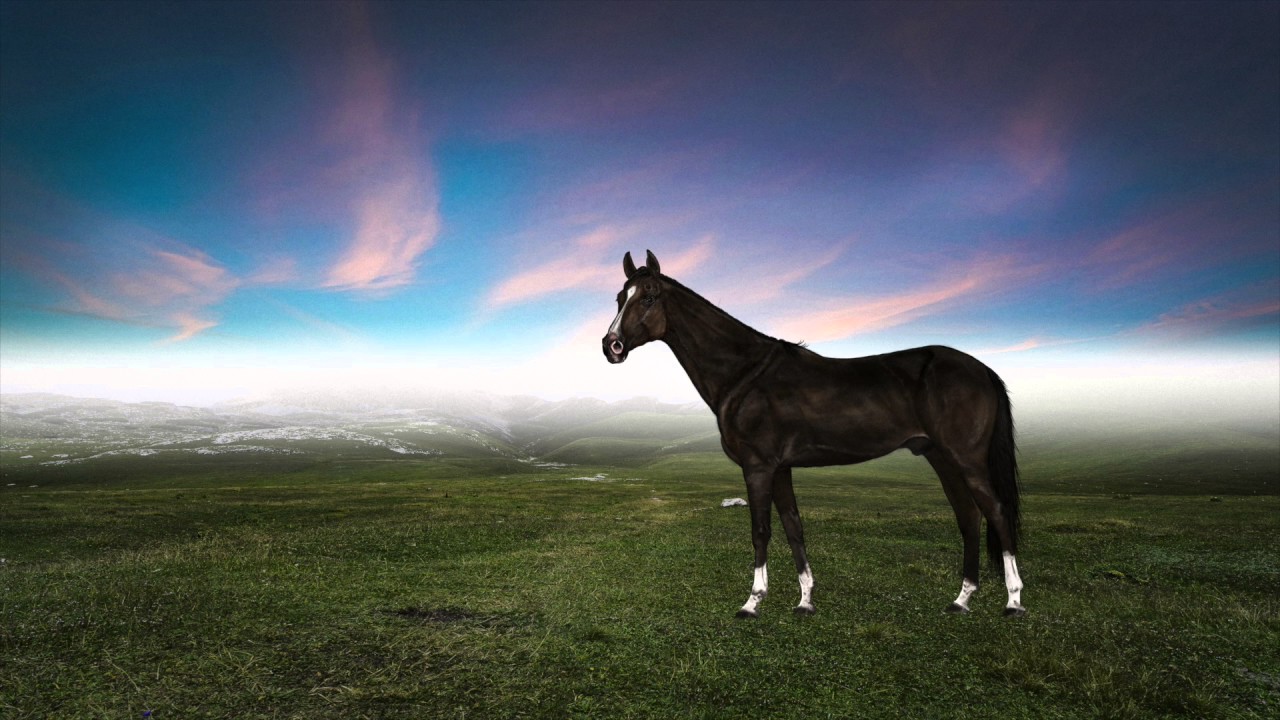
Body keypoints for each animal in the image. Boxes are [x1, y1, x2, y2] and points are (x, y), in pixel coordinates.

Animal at [601, 250, 1025, 618]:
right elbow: (793, 526)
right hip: (941, 458)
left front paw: (752, 603)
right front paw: (805, 601)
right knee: (969, 517)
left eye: (649, 296)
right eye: (621, 297)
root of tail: (981, 369)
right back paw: (961, 600)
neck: (744, 373)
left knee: (997, 512)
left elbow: (760, 531)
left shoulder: (758, 466)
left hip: (967, 459)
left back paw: (1013, 601)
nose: (612, 346)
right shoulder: (780, 468)